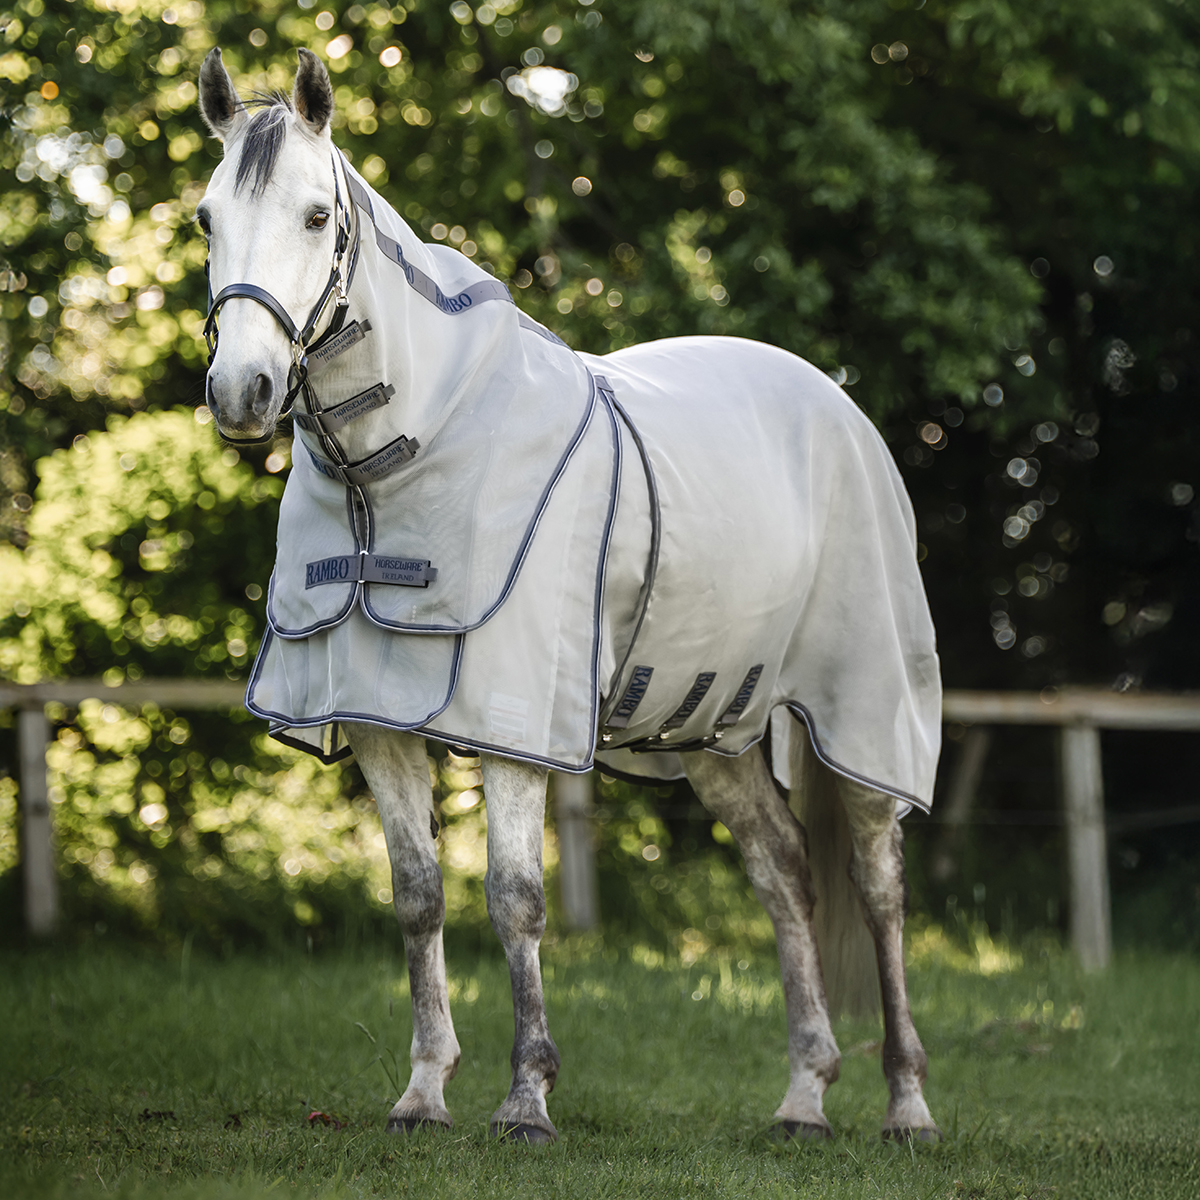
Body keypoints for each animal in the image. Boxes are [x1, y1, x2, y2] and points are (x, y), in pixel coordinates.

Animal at [196, 46, 942, 1144]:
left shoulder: (513, 718)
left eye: (316, 216)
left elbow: (514, 899)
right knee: (785, 873)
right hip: (713, 729)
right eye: (207, 216)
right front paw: (422, 1092)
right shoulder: (375, 718)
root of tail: (836, 405)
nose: (241, 391)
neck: (407, 453)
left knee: (879, 888)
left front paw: (526, 1098)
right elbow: (417, 896)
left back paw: (907, 1104)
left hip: (865, 708)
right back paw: (804, 1097)